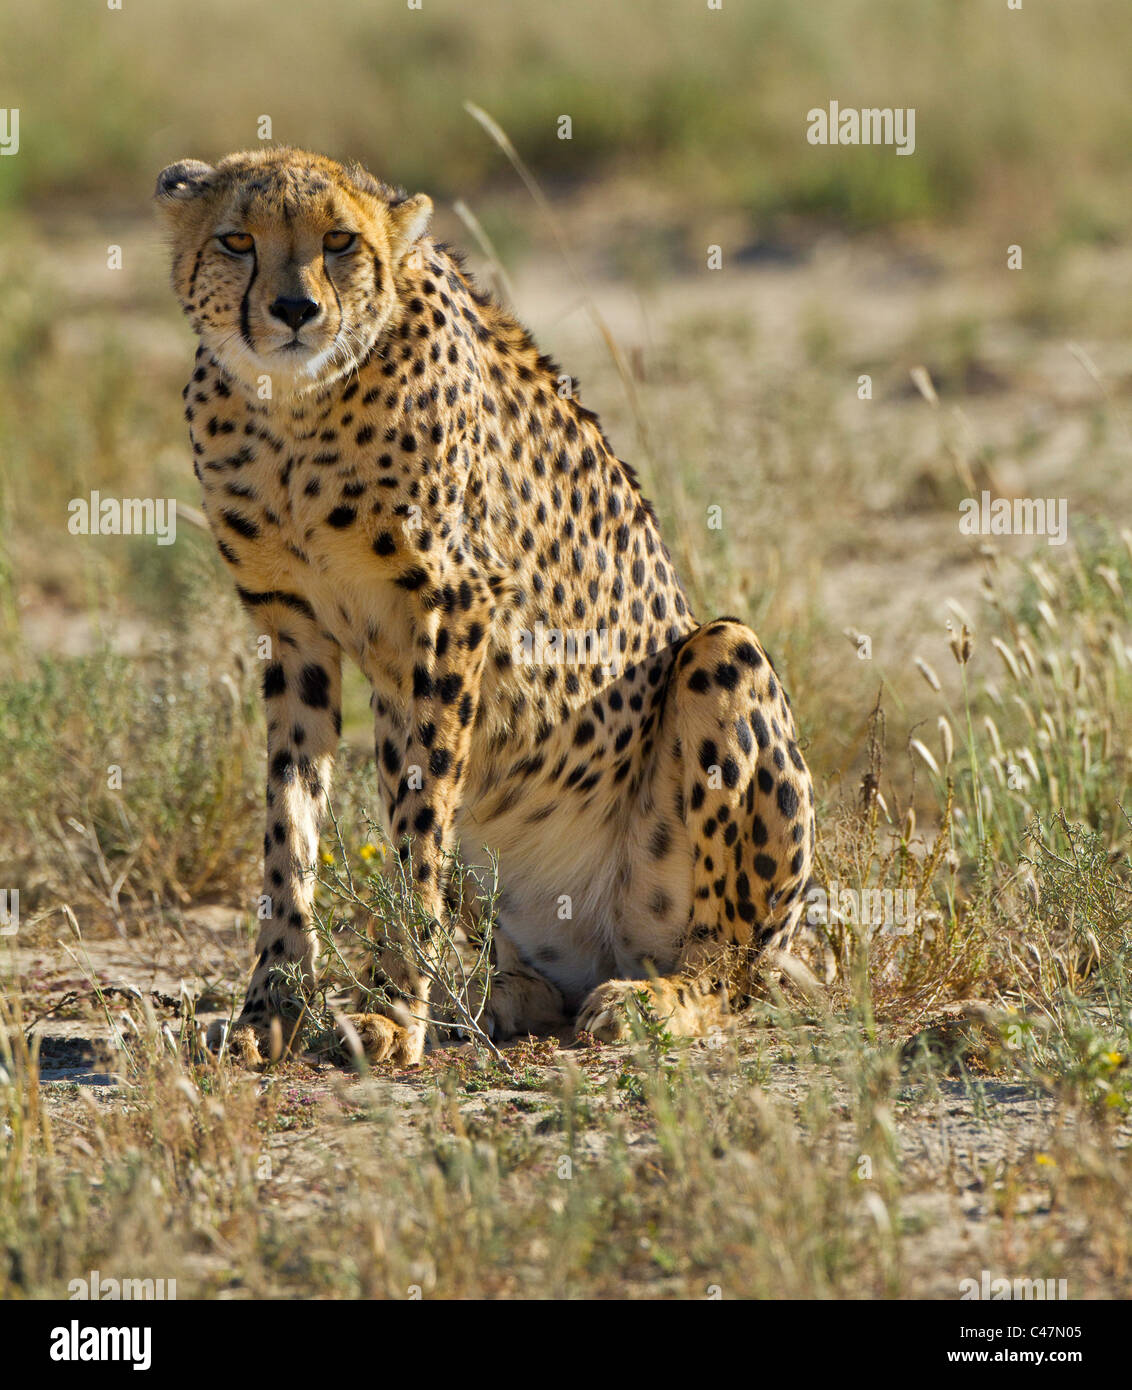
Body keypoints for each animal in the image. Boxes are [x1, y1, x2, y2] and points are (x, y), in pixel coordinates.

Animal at [155, 146, 816, 1066]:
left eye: (339, 241)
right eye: (236, 240)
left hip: (724, 655)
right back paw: (492, 998)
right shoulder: (292, 629)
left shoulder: (455, 604)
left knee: (731, 969)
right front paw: (271, 1008)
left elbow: (418, 822)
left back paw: (654, 1000)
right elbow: (290, 830)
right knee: (535, 977)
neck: (294, 405)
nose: (294, 310)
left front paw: (393, 1010)